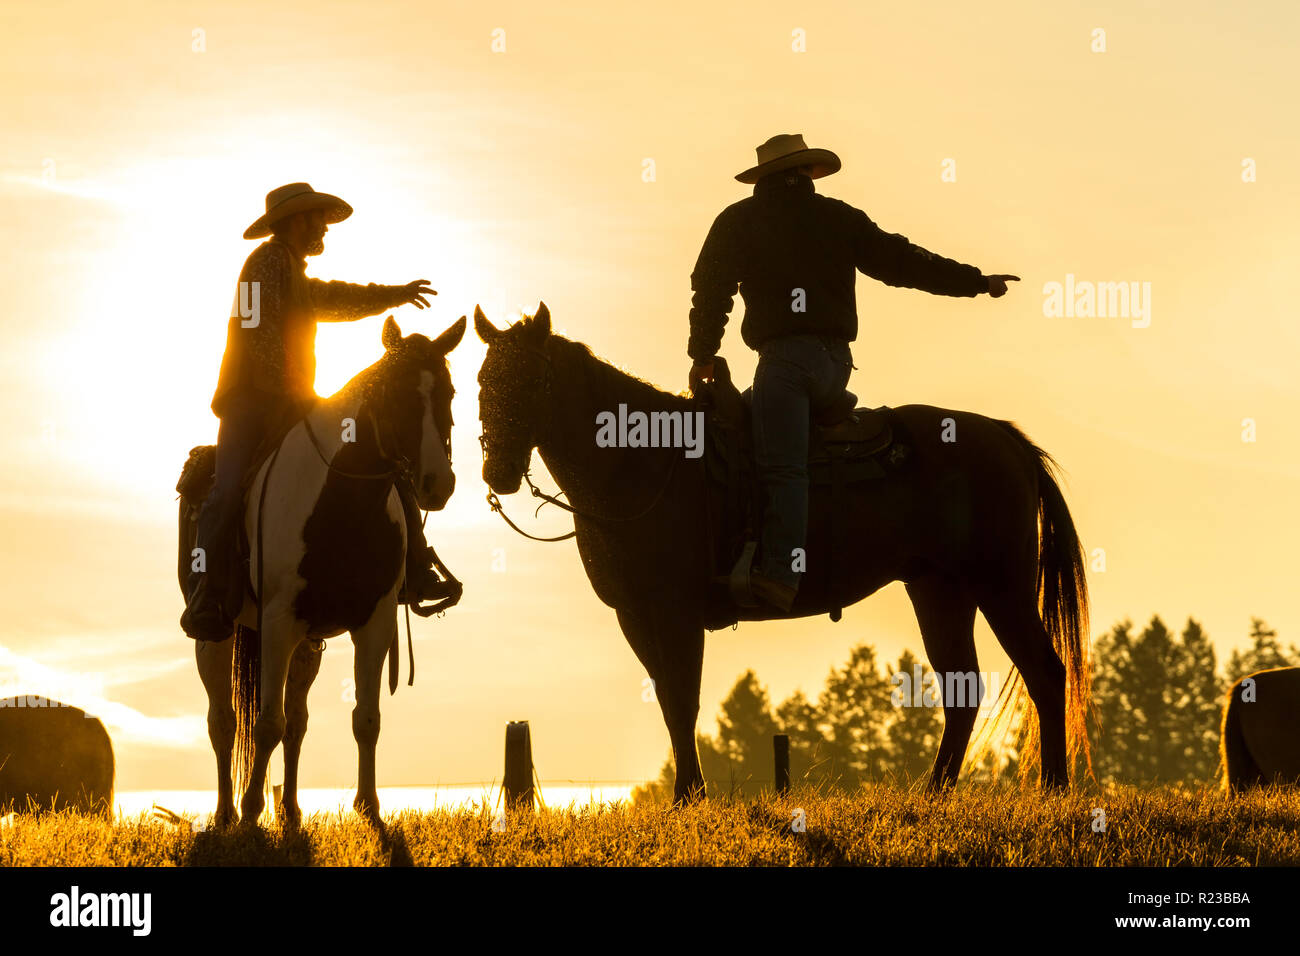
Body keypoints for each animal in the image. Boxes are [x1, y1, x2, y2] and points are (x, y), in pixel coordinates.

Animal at [184, 315, 465, 827]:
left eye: (449, 392)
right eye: (395, 393)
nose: (439, 483)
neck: (340, 502)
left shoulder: (374, 623)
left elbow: (364, 719)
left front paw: (369, 808)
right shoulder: (279, 621)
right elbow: (266, 723)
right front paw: (252, 812)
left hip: (308, 644)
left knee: (297, 723)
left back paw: (292, 812)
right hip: (215, 636)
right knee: (224, 722)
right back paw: (227, 813)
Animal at [474, 303, 1091, 802]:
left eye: (534, 379)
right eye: (482, 379)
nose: (497, 471)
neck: (641, 461)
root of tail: (1007, 438)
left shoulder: (676, 614)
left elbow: (682, 699)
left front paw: (688, 799)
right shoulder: (637, 616)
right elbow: (673, 704)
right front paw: (689, 796)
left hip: (1001, 586)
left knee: (1044, 672)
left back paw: (1053, 790)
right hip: (940, 590)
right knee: (962, 689)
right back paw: (934, 792)